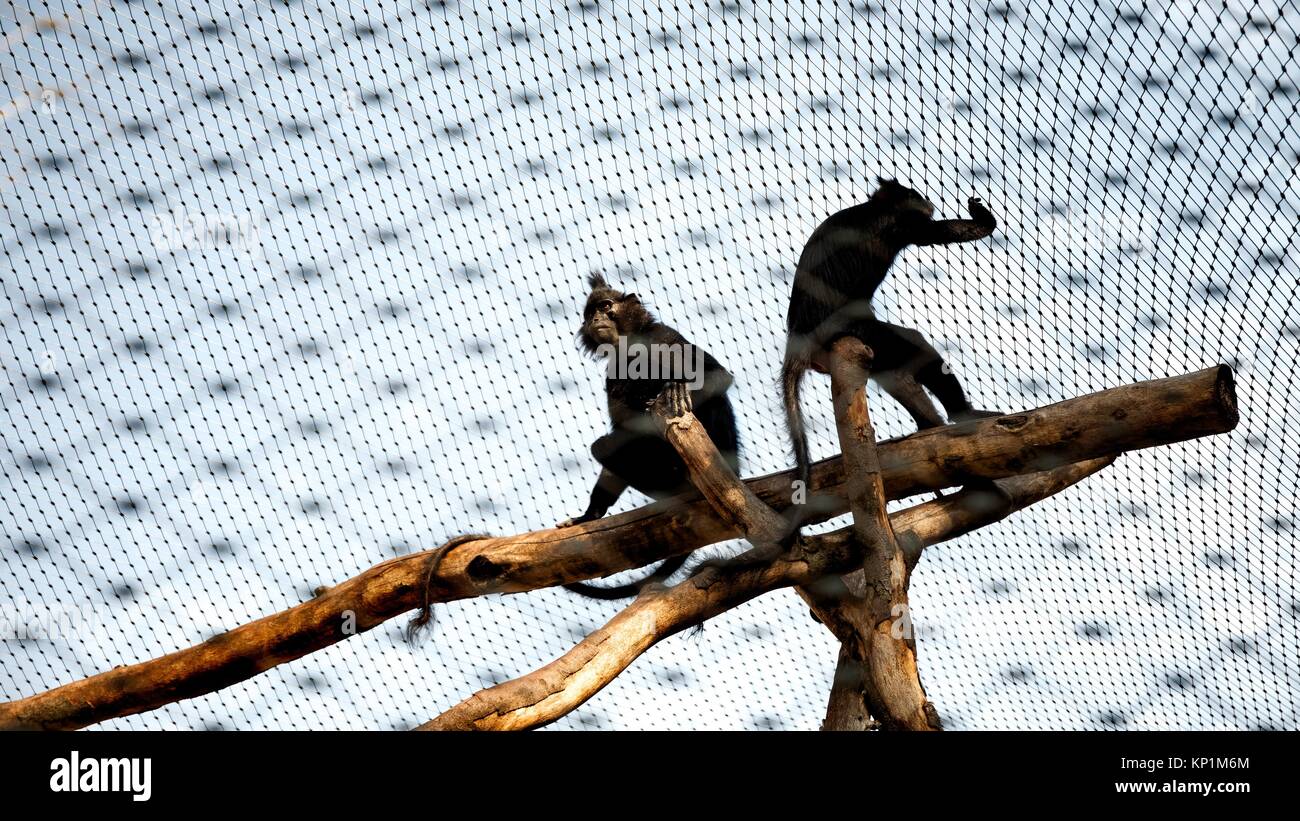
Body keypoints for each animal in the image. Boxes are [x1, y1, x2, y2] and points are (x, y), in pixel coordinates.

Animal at [558, 273, 741, 599]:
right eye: (589, 314)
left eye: (606, 306)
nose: (596, 319)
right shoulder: (613, 370)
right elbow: (619, 429)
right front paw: (590, 514)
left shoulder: (663, 335)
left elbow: (717, 374)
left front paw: (676, 390)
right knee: (605, 446)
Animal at [783, 177, 1003, 500]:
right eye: (916, 195)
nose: (927, 202)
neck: (873, 207)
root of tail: (798, 338)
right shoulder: (902, 223)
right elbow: (934, 233)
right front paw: (984, 219)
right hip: (855, 332)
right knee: (915, 348)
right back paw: (962, 414)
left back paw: (931, 426)